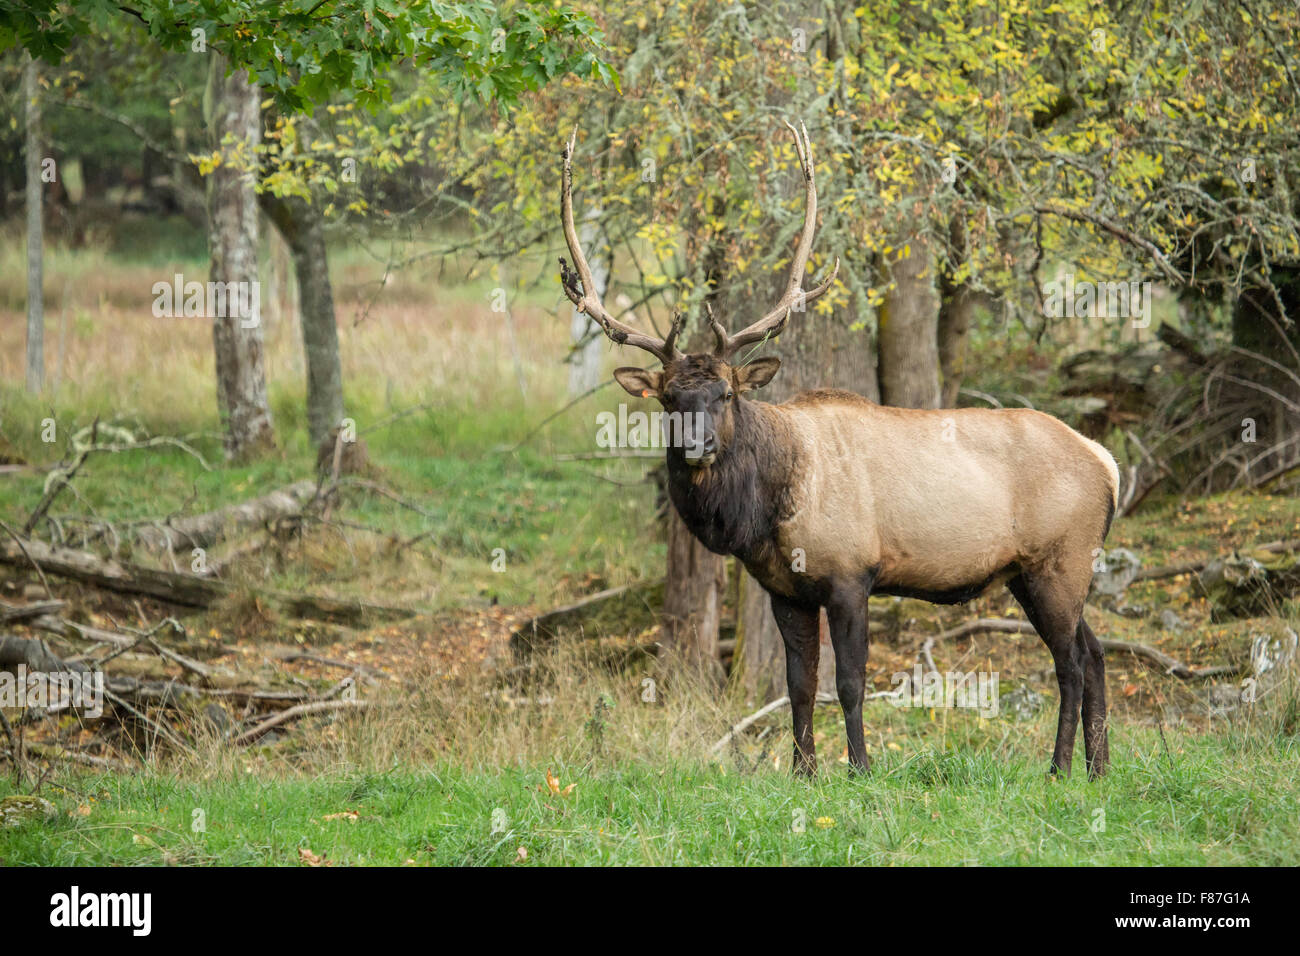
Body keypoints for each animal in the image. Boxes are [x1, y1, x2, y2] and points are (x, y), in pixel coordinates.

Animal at [558, 123, 1120, 780]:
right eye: (670, 398)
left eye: (725, 393)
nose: (696, 446)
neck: (765, 512)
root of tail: (1107, 462)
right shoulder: (784, 590)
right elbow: (798, 685)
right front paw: (803, 773)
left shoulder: (853, 573)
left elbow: (849, 682)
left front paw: (860, 768)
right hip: (1038, 573)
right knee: (1095, 652)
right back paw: (1098, 769)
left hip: (1059, 560)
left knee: (1071, 663)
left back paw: (1059, 768)